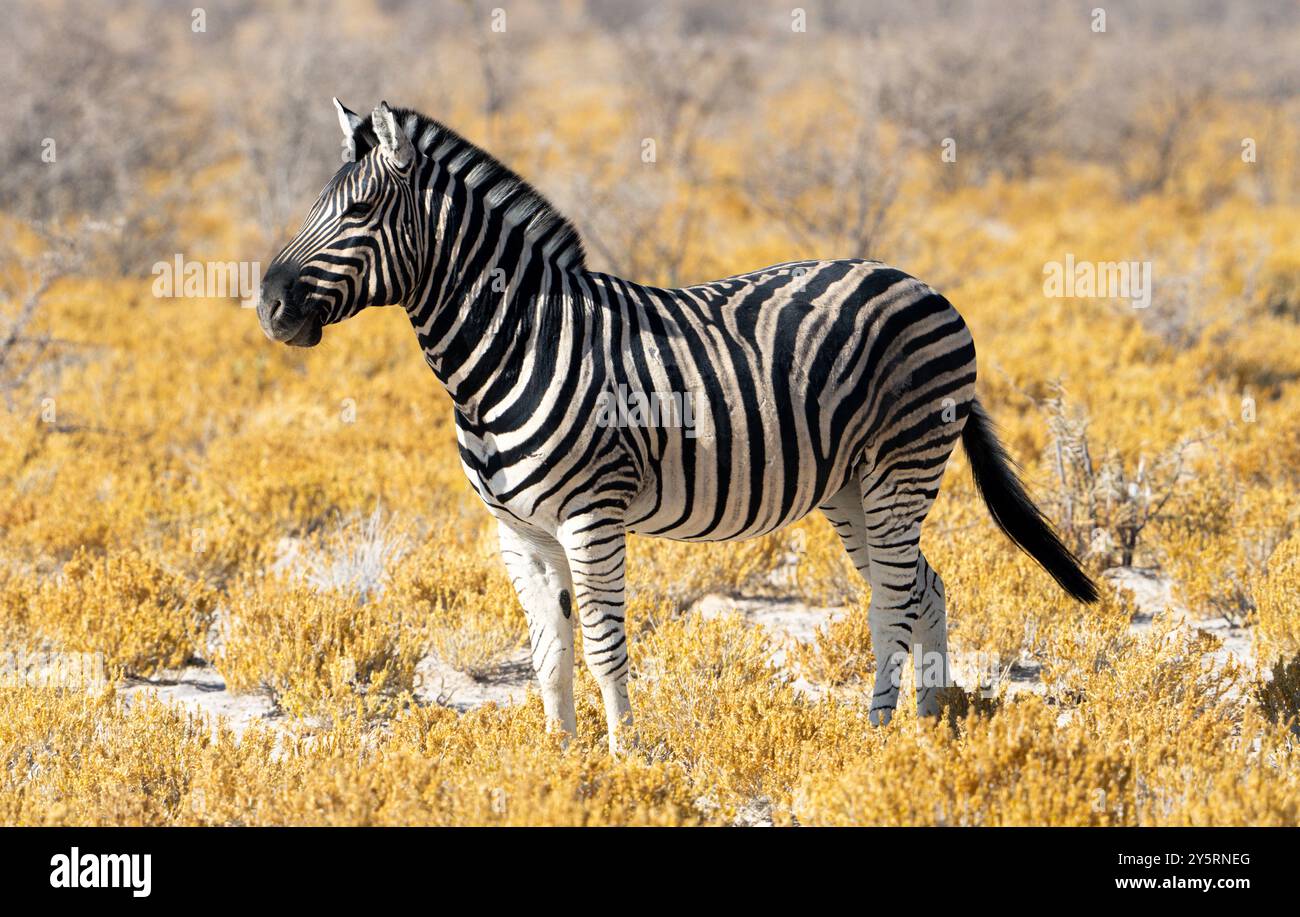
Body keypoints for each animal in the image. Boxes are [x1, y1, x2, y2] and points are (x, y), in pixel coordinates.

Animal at [256, 100, 1098, 753]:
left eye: (359, 211)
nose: (268, 303)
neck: (515, 344)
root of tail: (923, 285)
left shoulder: (591, 515)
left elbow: (602, 644)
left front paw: (626, 758)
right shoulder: (517, 530)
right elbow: (548, 651)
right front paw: (554, 764)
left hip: (902, 466)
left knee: (892, 597)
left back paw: (878, 734)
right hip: (852, 487)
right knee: (925, 585)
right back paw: (932, 726)